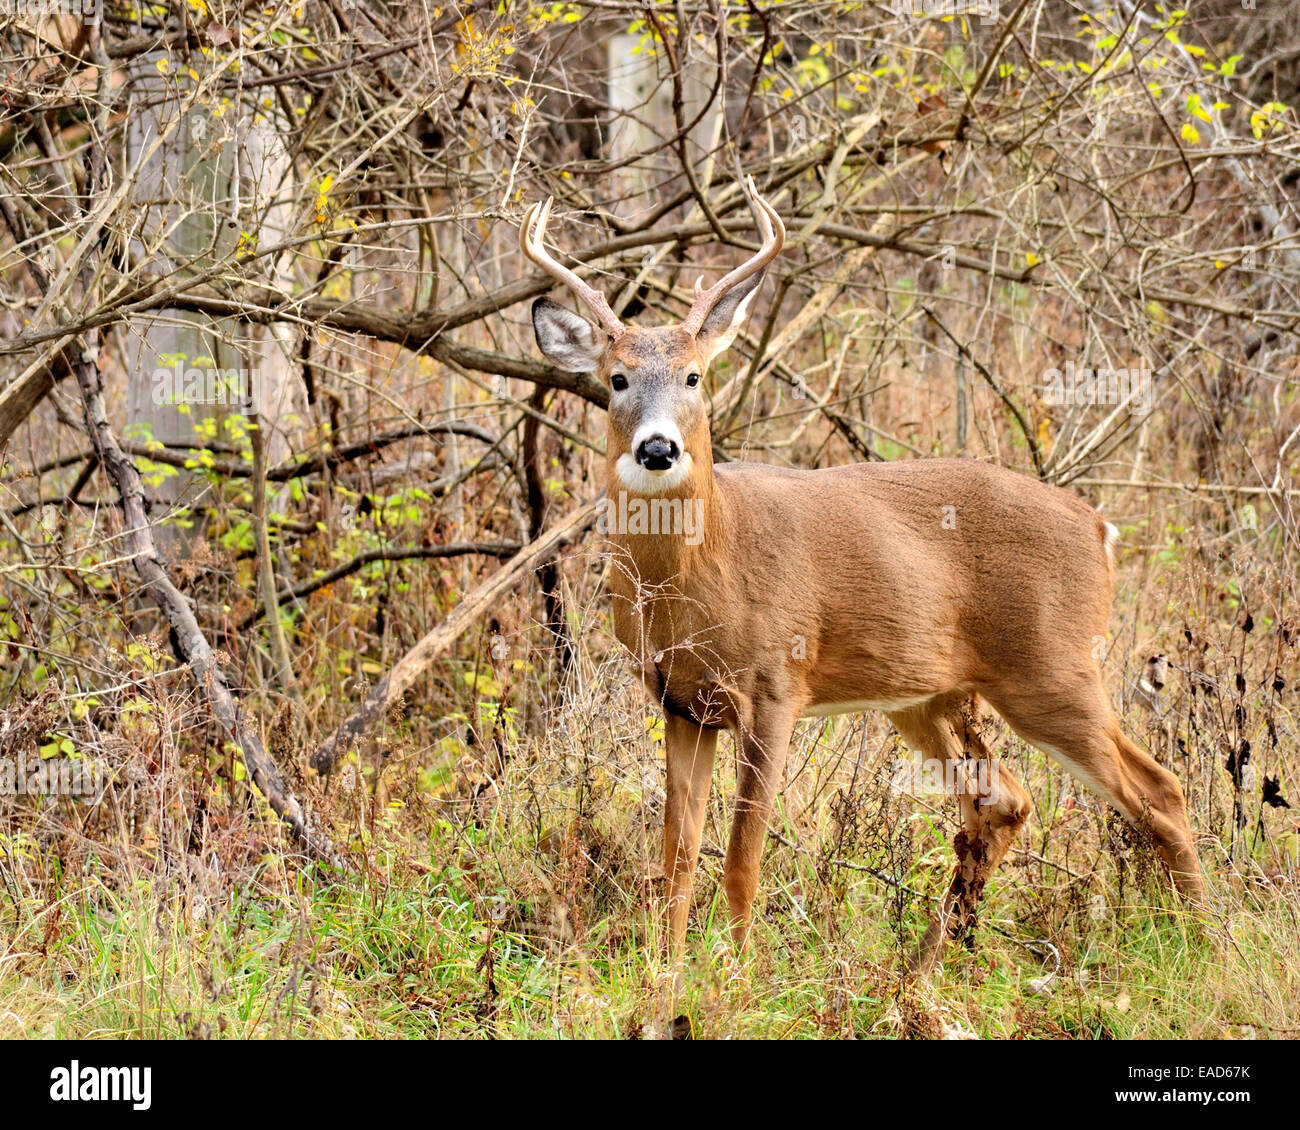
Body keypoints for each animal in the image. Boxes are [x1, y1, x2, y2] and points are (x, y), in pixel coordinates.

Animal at [519, 181, 1205, 969]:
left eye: (695, 376)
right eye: (617, 379)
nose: (658, 448)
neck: (702, 573)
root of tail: (1100, 528)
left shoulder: (775, 686)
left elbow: (742, 858)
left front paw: (734, 972)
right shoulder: (681, 701)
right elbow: (678, 856)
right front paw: (667, 969)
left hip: (1053, 666)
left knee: (1160, 790)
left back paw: (1207, 939)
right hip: (932, 694)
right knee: (1002, 799)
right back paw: (926, 967)